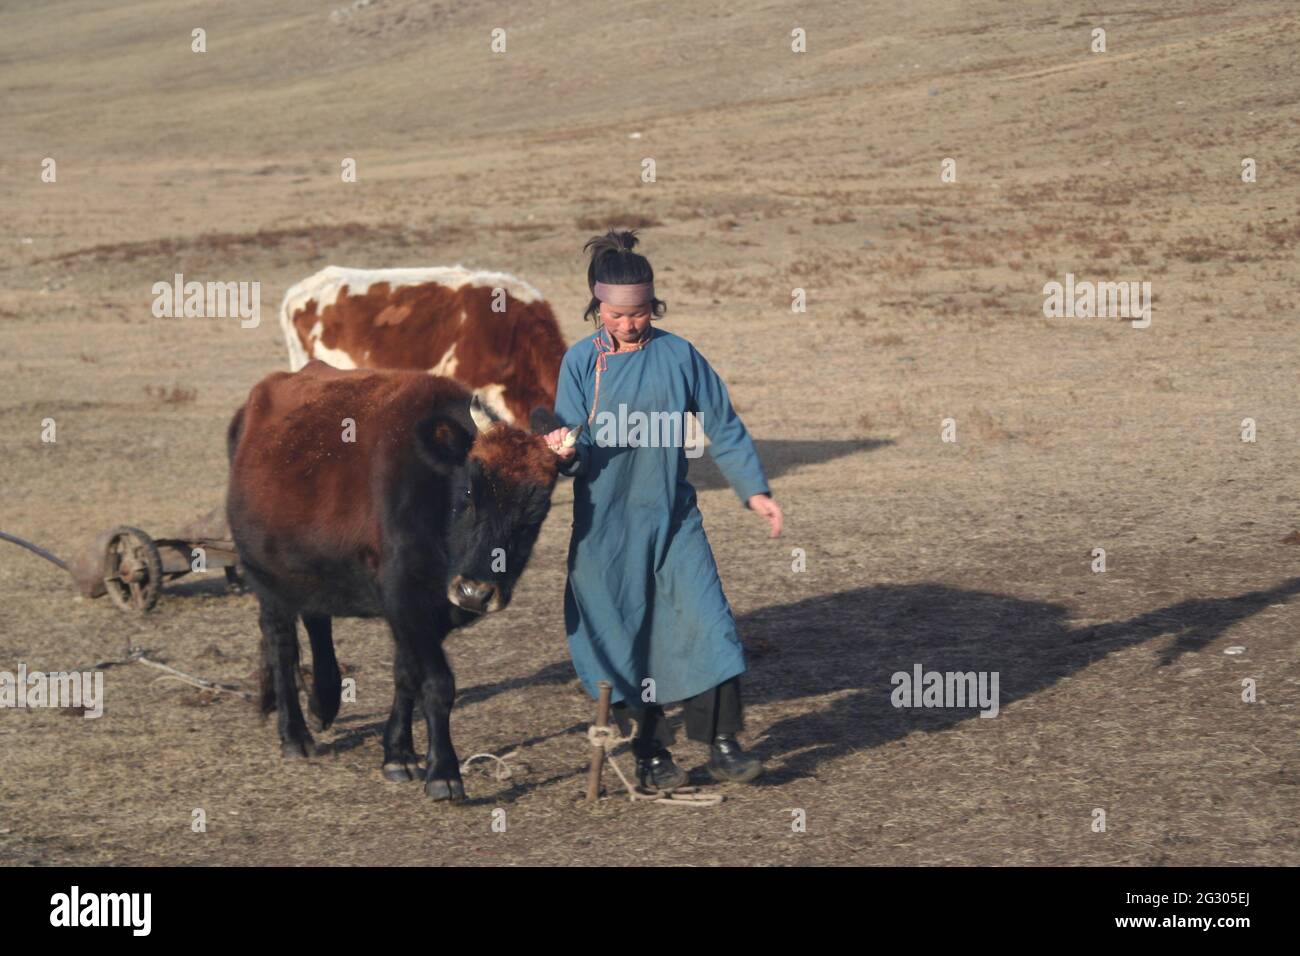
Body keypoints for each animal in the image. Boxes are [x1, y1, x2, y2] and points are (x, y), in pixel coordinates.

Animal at [225, 360, 562, 800]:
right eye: (469, 494)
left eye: (535, 514)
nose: (475, 593)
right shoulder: (406, 598)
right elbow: (437, 683)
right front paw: (443, 772)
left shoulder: (422, 611)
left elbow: (407, 675)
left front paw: (398, 754)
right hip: (267, 577)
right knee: (281, 644)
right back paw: (295, 734)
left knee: (317, 620)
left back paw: (324, 700)